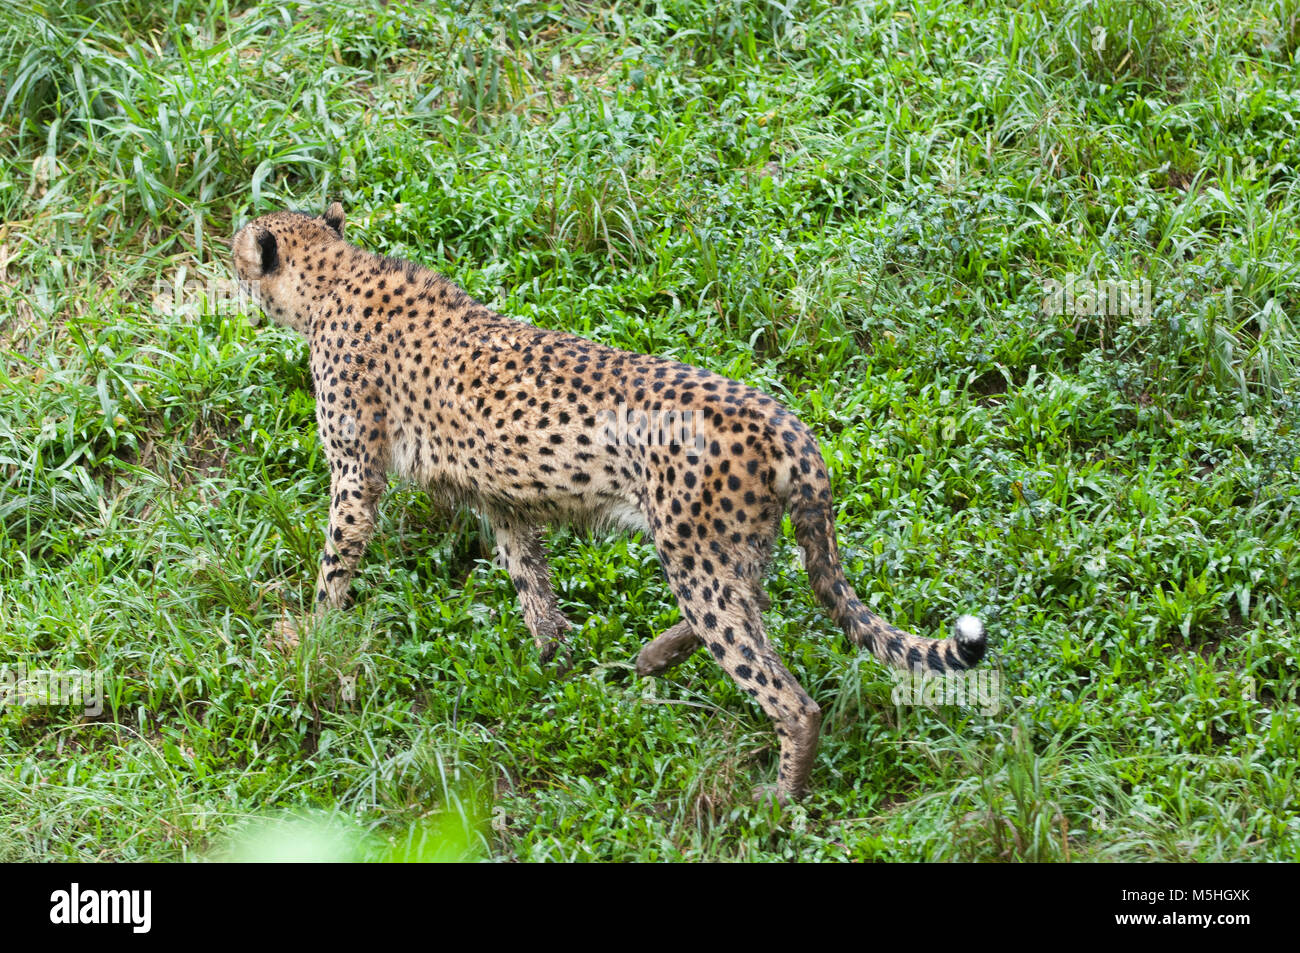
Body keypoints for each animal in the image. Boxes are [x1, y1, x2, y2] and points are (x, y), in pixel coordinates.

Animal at [231, 201, 987, 804]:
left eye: (241, 252)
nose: (229, 268)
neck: (332, 275)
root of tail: (777, 416)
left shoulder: (357, 477)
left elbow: (335, 566)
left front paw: (310, 641)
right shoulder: (504, 502)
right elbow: (530, 581)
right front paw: (552, 664)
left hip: (695, 552)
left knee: (780, 684)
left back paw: (778, 799)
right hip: (733, 543)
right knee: (751, 605)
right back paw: (655, 657)